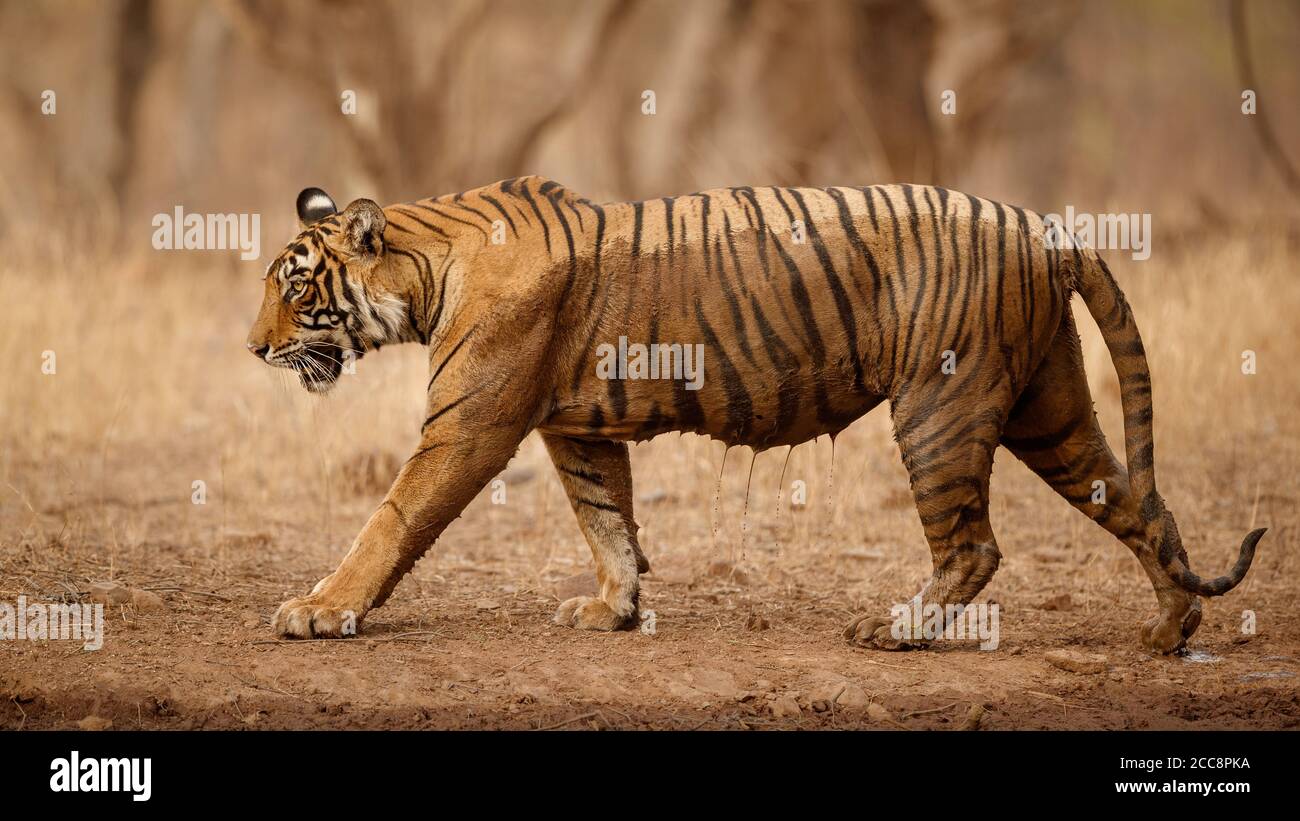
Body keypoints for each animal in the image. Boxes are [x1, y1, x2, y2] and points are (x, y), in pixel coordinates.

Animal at [247, 177, 1265, 654]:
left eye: (296, 289)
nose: (254, 349)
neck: (425, 269)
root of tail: (1043, 230)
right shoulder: (575, 428)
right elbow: (606, 518)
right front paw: (616, 608)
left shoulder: (471, 421)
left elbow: (393, 517)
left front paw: (320, 609)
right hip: (1047, 410)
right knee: (1137, 502)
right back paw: (1170, 629)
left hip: (941, 405)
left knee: (975, 544)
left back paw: (896, 629)